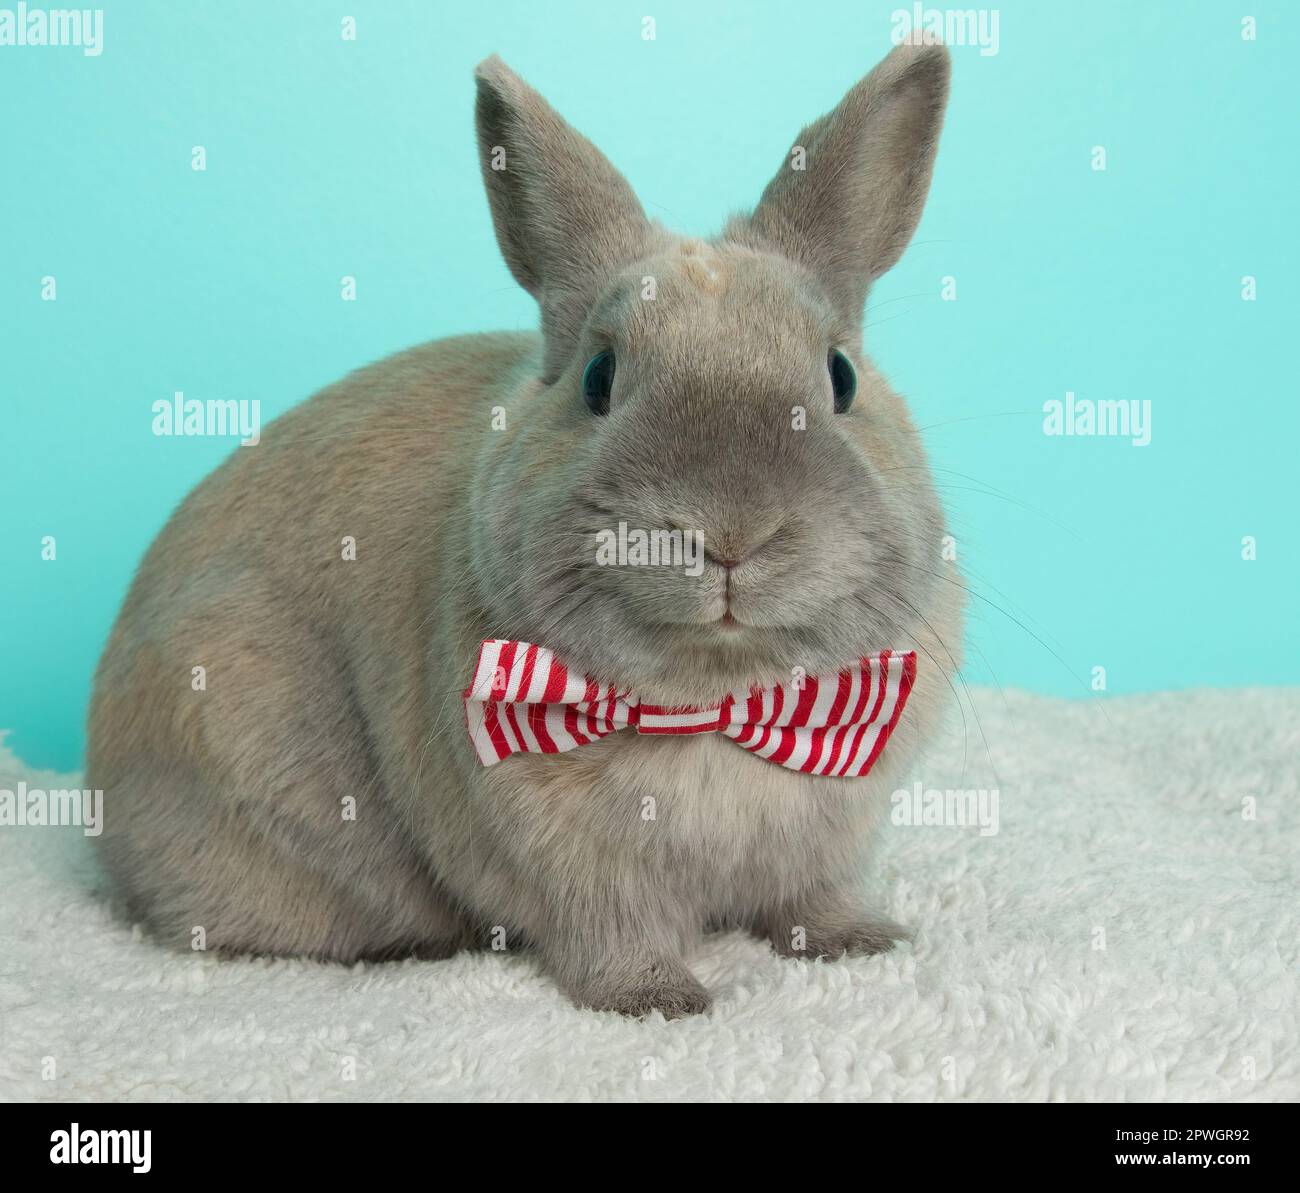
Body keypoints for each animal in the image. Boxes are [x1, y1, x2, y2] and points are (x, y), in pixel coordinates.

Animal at [86, 39, 964, 1019]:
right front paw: (660, 999)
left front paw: (867, 944)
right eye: (598, 377)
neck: (715, 697)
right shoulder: (578, 875)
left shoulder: (832, 842)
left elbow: (817, 900)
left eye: (841, 376)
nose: (729, 532)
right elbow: (612, 936)